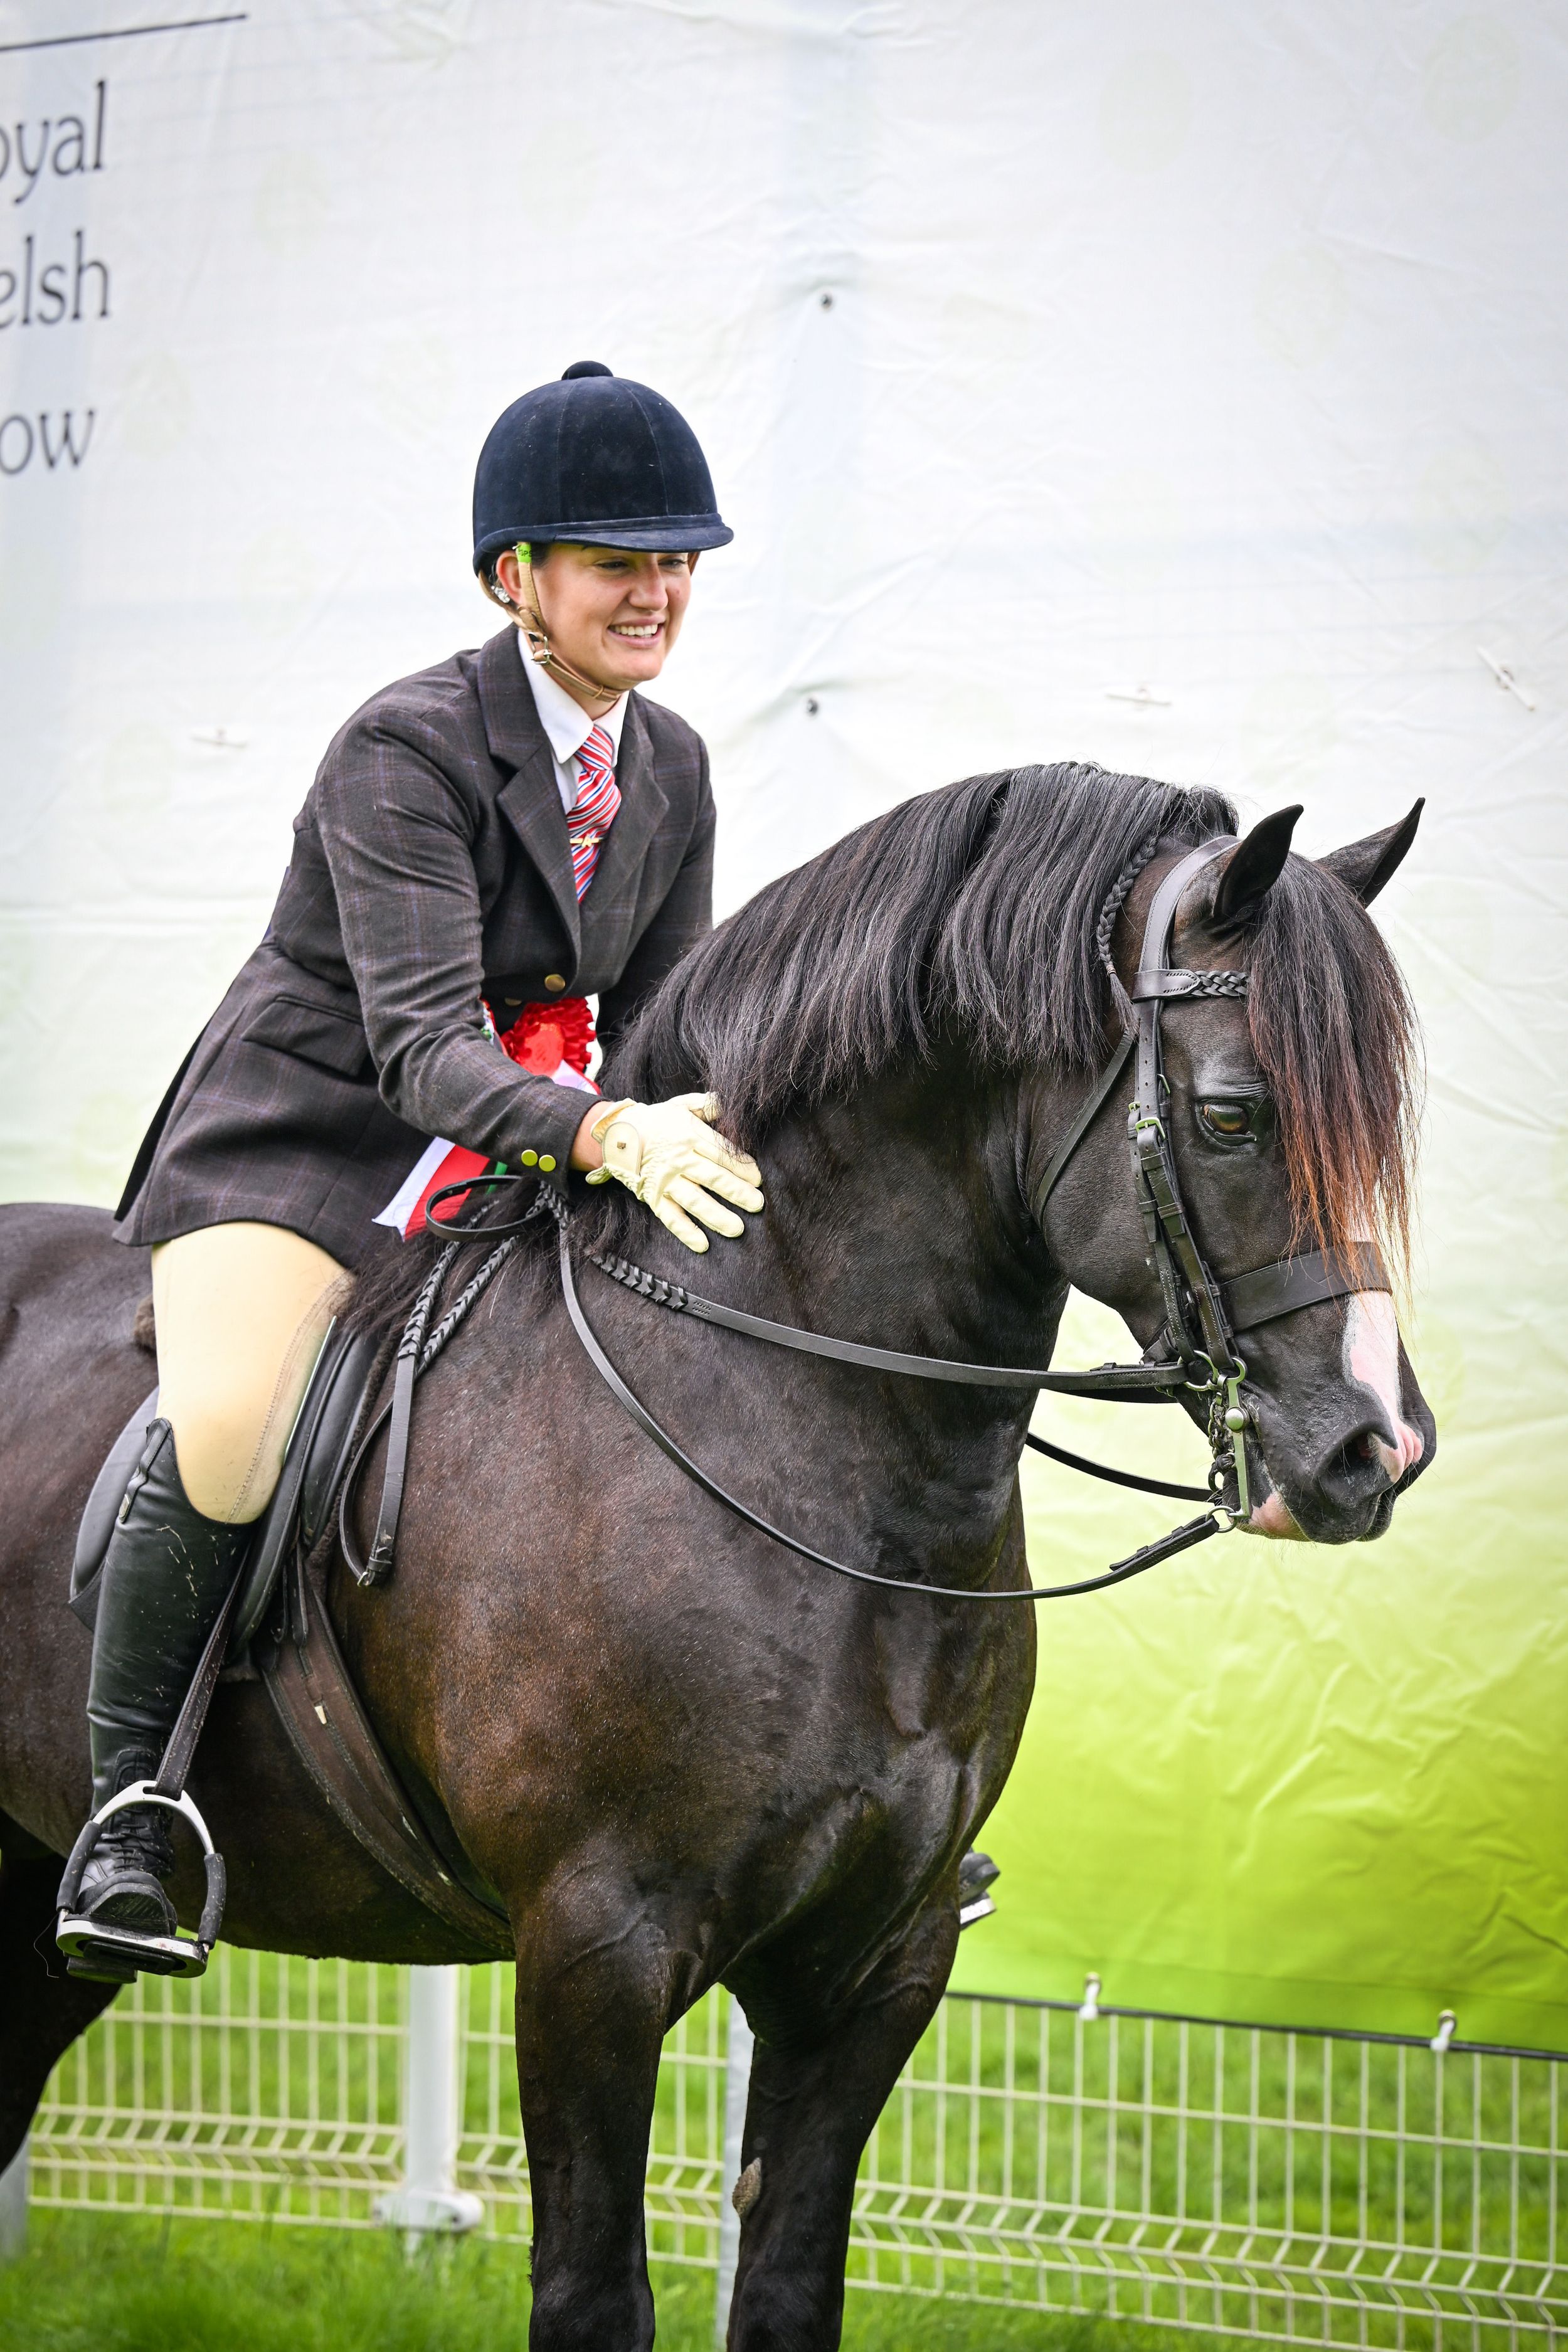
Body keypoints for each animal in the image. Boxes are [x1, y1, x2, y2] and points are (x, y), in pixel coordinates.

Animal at [0, 763, 1433, 2350]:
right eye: (1233, 1116)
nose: (1372, 1449)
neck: (804, 1444)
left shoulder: (876, 1958)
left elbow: (791, 2280)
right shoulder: (594, 1949)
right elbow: (591, 2294)